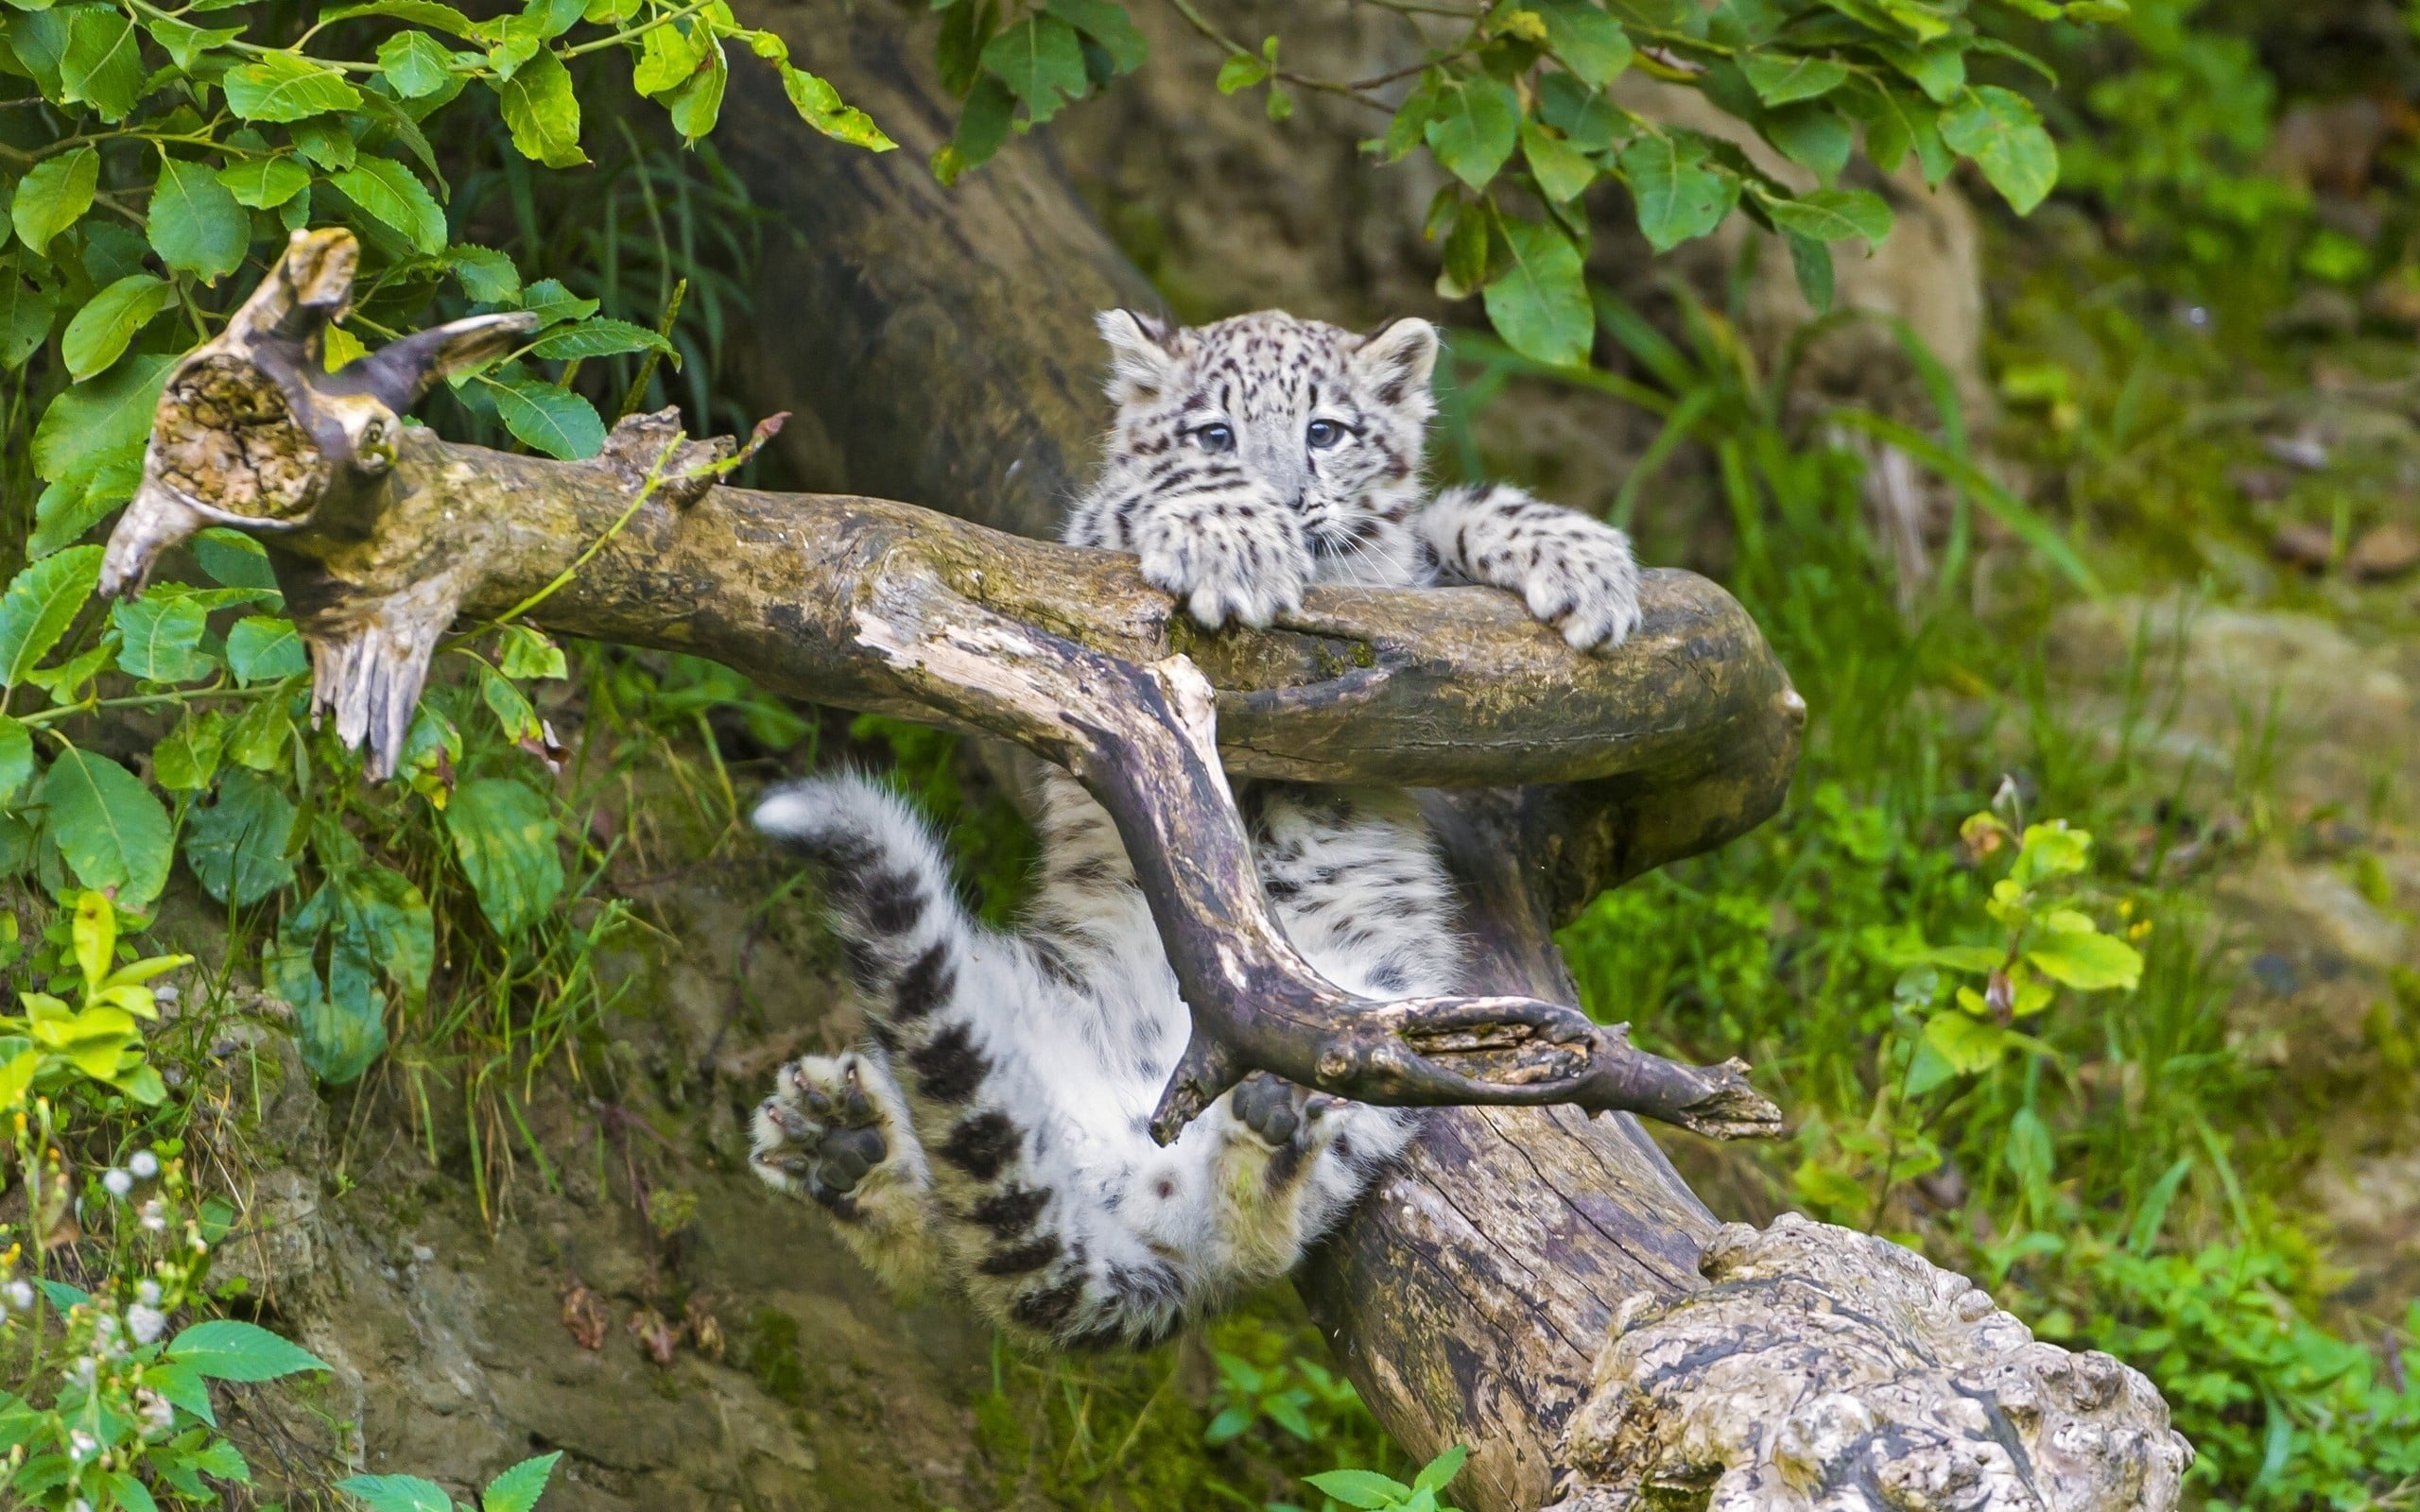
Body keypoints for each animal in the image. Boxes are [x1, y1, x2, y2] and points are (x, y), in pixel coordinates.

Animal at [744, 308, 1642, 1348]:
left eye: (1325, 430)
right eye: (1215, 433)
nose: (1286, 500)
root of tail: (1123, 1135)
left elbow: (1440, 522)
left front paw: (1583, 561)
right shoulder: (1081, 557)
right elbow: (1132, 500)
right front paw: (1232, 541)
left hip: (1389, 1033)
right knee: (989, 1237)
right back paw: (842, 1139)